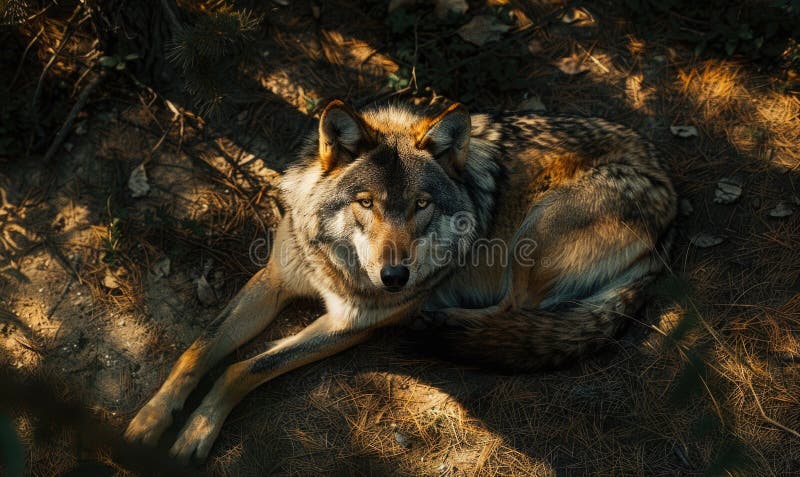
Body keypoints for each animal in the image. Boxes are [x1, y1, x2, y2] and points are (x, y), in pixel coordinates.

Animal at [124, 99, 677, 461]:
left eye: (421, 204)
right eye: (366, 202)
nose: (394, 277)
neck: (336, 264)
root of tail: (672, 198)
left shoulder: (350, 322)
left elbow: (243, 368)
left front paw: (195, 433)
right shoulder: (275, 278)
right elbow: (199, 349)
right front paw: (150, 419)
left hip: (532, 232)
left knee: (515, 312)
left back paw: (436, 319)